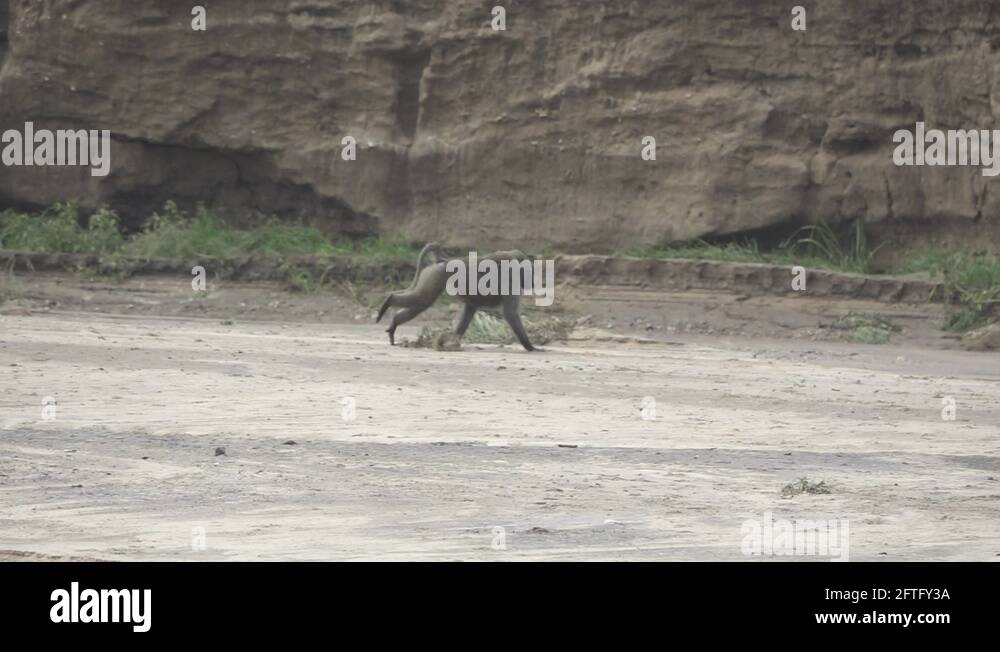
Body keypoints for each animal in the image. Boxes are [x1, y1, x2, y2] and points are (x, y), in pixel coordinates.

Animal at [376, 245, 536, 351]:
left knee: (421, 303)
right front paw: (530, 347)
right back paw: (389, 300)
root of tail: (443, 260)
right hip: (436, 275)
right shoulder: (511, 282)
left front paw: (451, 342)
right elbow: (510, 313)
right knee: (423, 299)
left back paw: (394, 322)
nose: (532, 281)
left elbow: (470, 309)